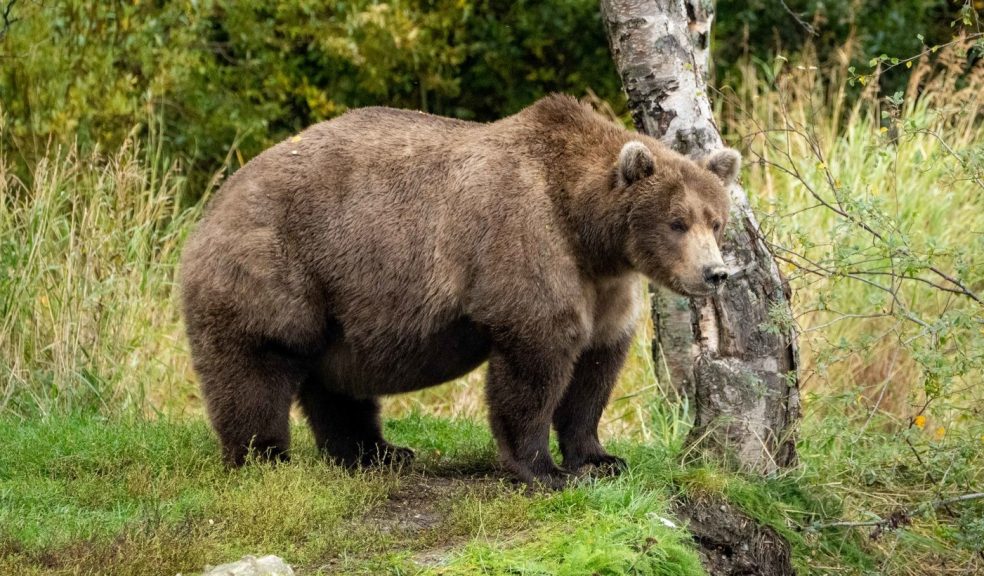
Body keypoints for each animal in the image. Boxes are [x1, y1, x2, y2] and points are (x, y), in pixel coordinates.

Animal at [180, 94, 740, 488]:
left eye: (716, 220)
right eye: (676, 222)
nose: (715, 273)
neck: (588, 232)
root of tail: (213, 205)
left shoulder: (606, 286)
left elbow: (596, 367)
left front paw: (600, 458)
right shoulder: (525, 241)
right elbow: (536, 361)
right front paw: (545, 469)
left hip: (340, 302)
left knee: (336, 381)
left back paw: (378, 452)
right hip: (275, 266)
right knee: (255, 365)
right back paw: (264, 457)